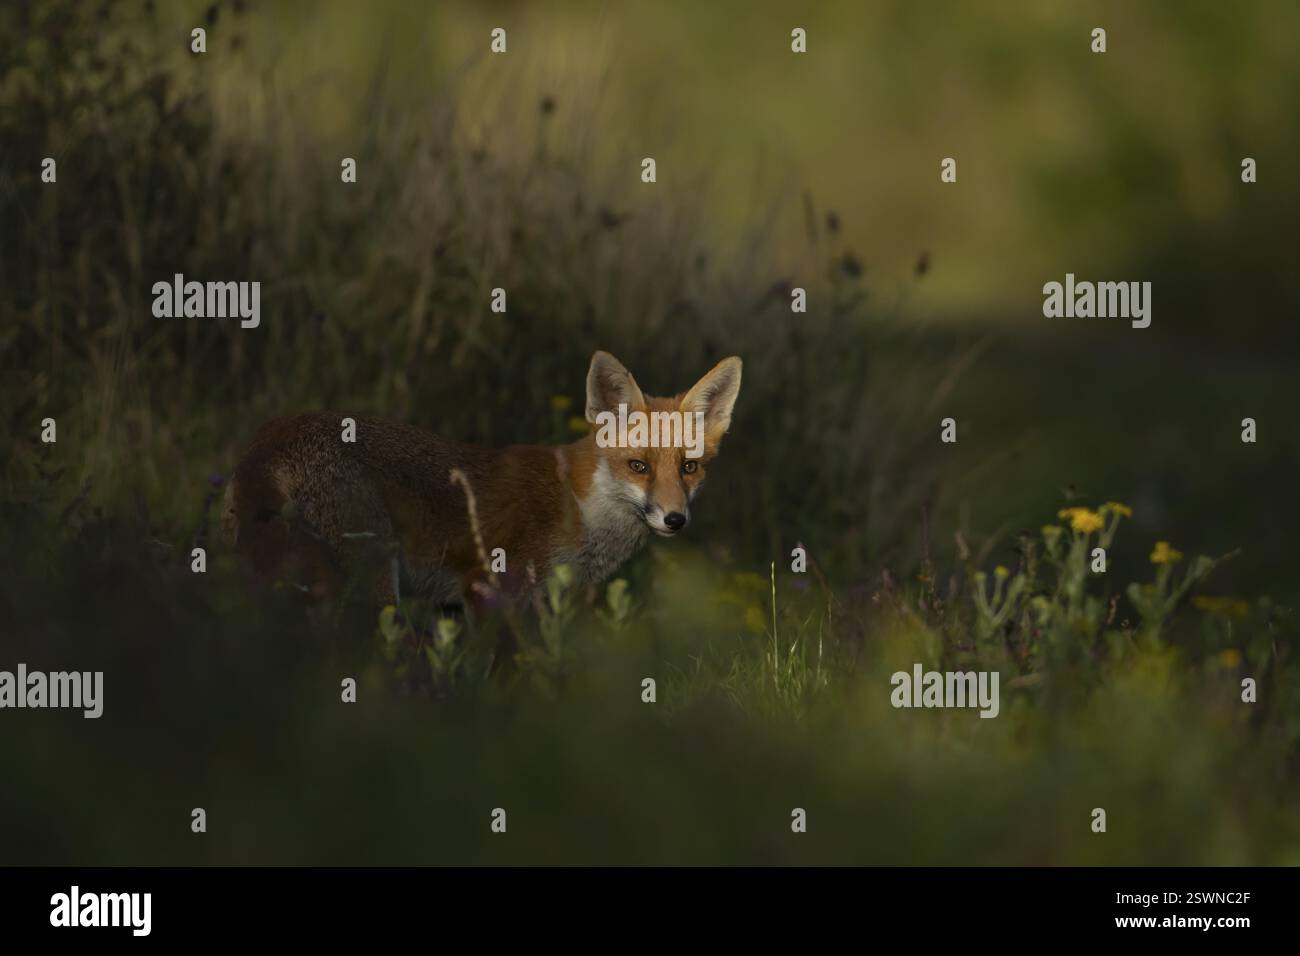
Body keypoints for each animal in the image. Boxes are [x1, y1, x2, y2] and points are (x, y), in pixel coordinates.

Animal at [221, 351, 742, 609]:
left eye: (689, 467)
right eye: (638, 466)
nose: (675, 519)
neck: (579, 507)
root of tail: (273, 431)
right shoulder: (488, 589)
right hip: (374, 583)